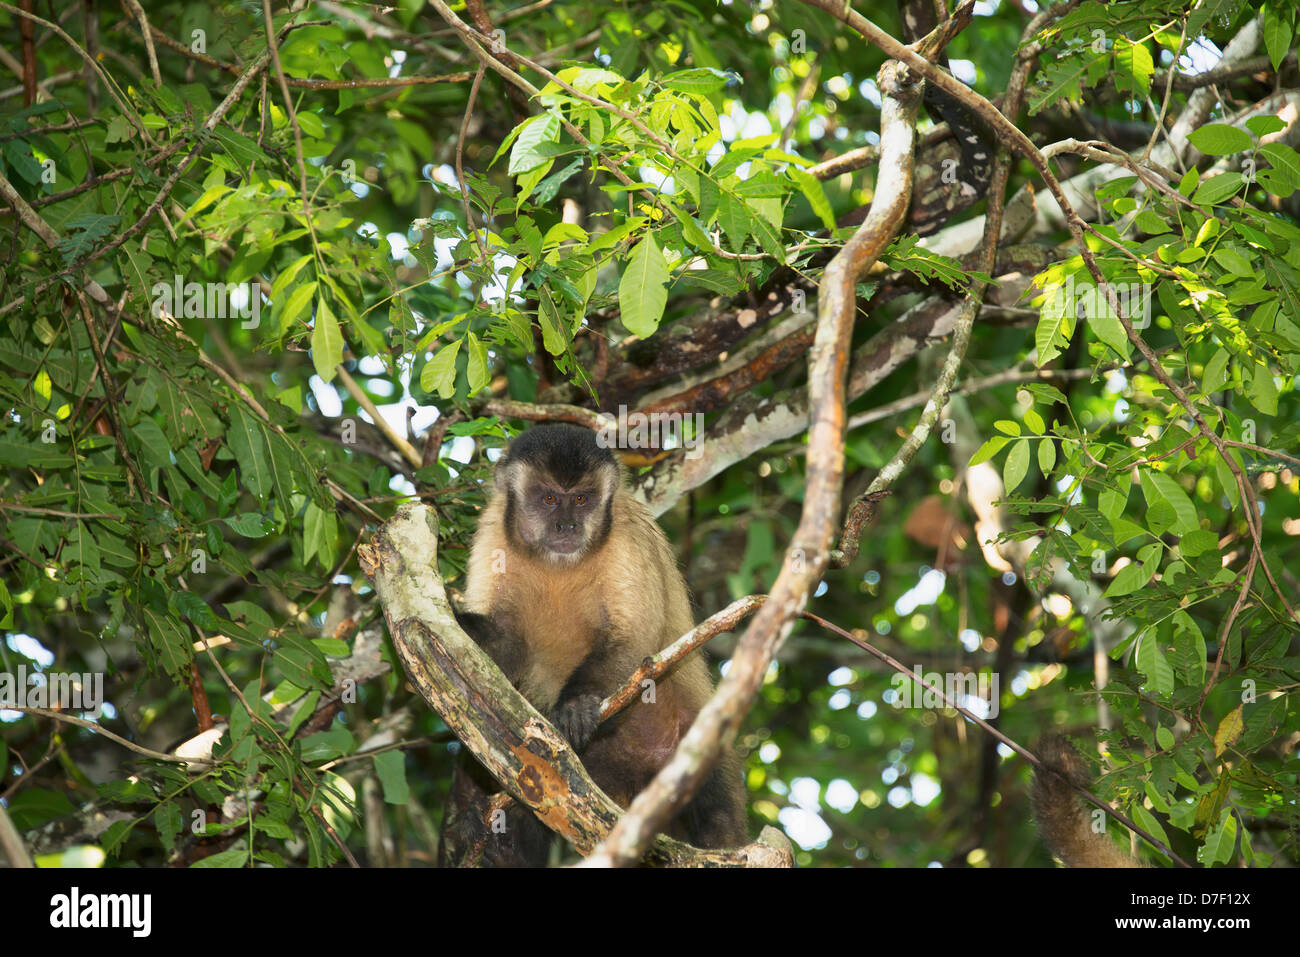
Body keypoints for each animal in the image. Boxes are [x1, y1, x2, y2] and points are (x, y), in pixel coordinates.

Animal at [438, 423, 748, 866]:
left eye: (582, 499)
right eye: (550, 498)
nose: (567, 527)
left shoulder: (626, 534)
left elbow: (633, 639)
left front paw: (577, 703)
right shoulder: (493, 528)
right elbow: (507, 642)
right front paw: (458, 622)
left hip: (693, 742)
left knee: (715, 816)